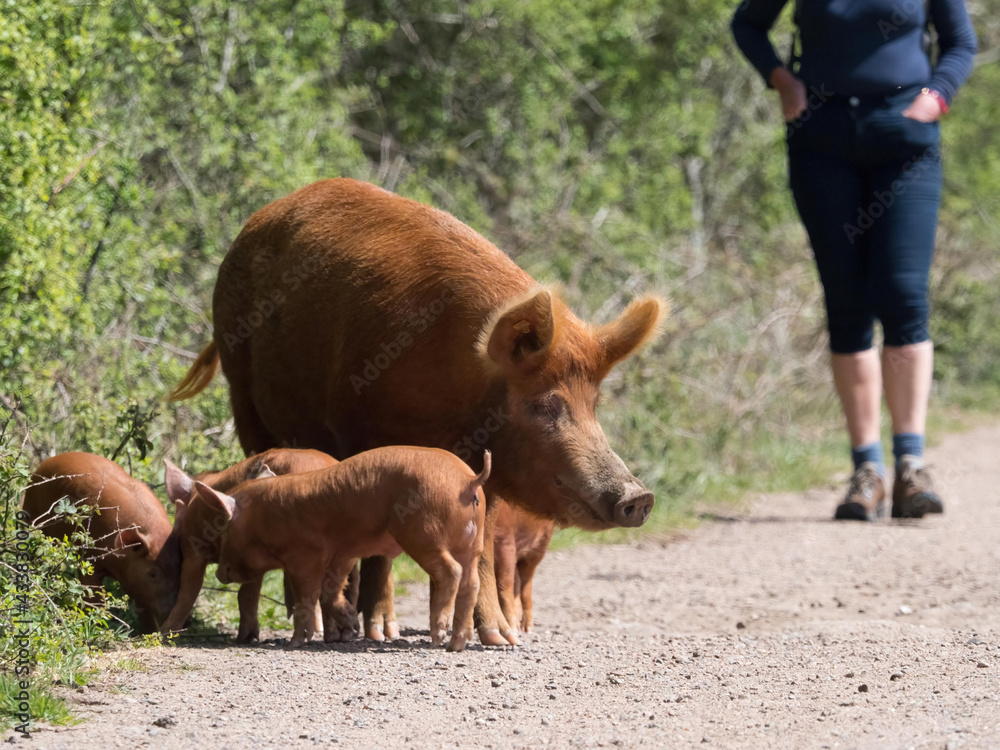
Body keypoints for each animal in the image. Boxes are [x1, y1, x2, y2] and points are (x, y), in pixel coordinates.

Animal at [20, 452, 182, 633]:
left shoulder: (137, 583)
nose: (171, 611)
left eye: (179, 570)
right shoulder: (89, 559)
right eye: (152, 573)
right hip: (32, 519)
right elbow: (94, 599)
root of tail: (45, 463)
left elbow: (143, 606)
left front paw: (151, 633)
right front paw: (95, 630)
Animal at [161, 447, 340, 642]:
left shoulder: (194, 550)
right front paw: (248, 638)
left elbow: (187, 593)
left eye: (179, 517)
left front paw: (164, 634)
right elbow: (247, 592)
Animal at [189, 446, 489, 651]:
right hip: (473, 543)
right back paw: (456, 645)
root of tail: (469, 479)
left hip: (423, 533)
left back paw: (438, 638)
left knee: (452, 572)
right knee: (472, 581)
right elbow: (329, 591)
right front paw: (349, 625)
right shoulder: (343, 554)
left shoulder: (304, 556)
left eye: (225, 529)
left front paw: (296, 642)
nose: (220, 574)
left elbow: (306, 599)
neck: (266, 517)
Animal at [493, 499, 555, 633]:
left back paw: (526, 628)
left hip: (540, 544)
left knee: (526, 581)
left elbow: (504, 585)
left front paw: (512, 628)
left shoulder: (505, 542)